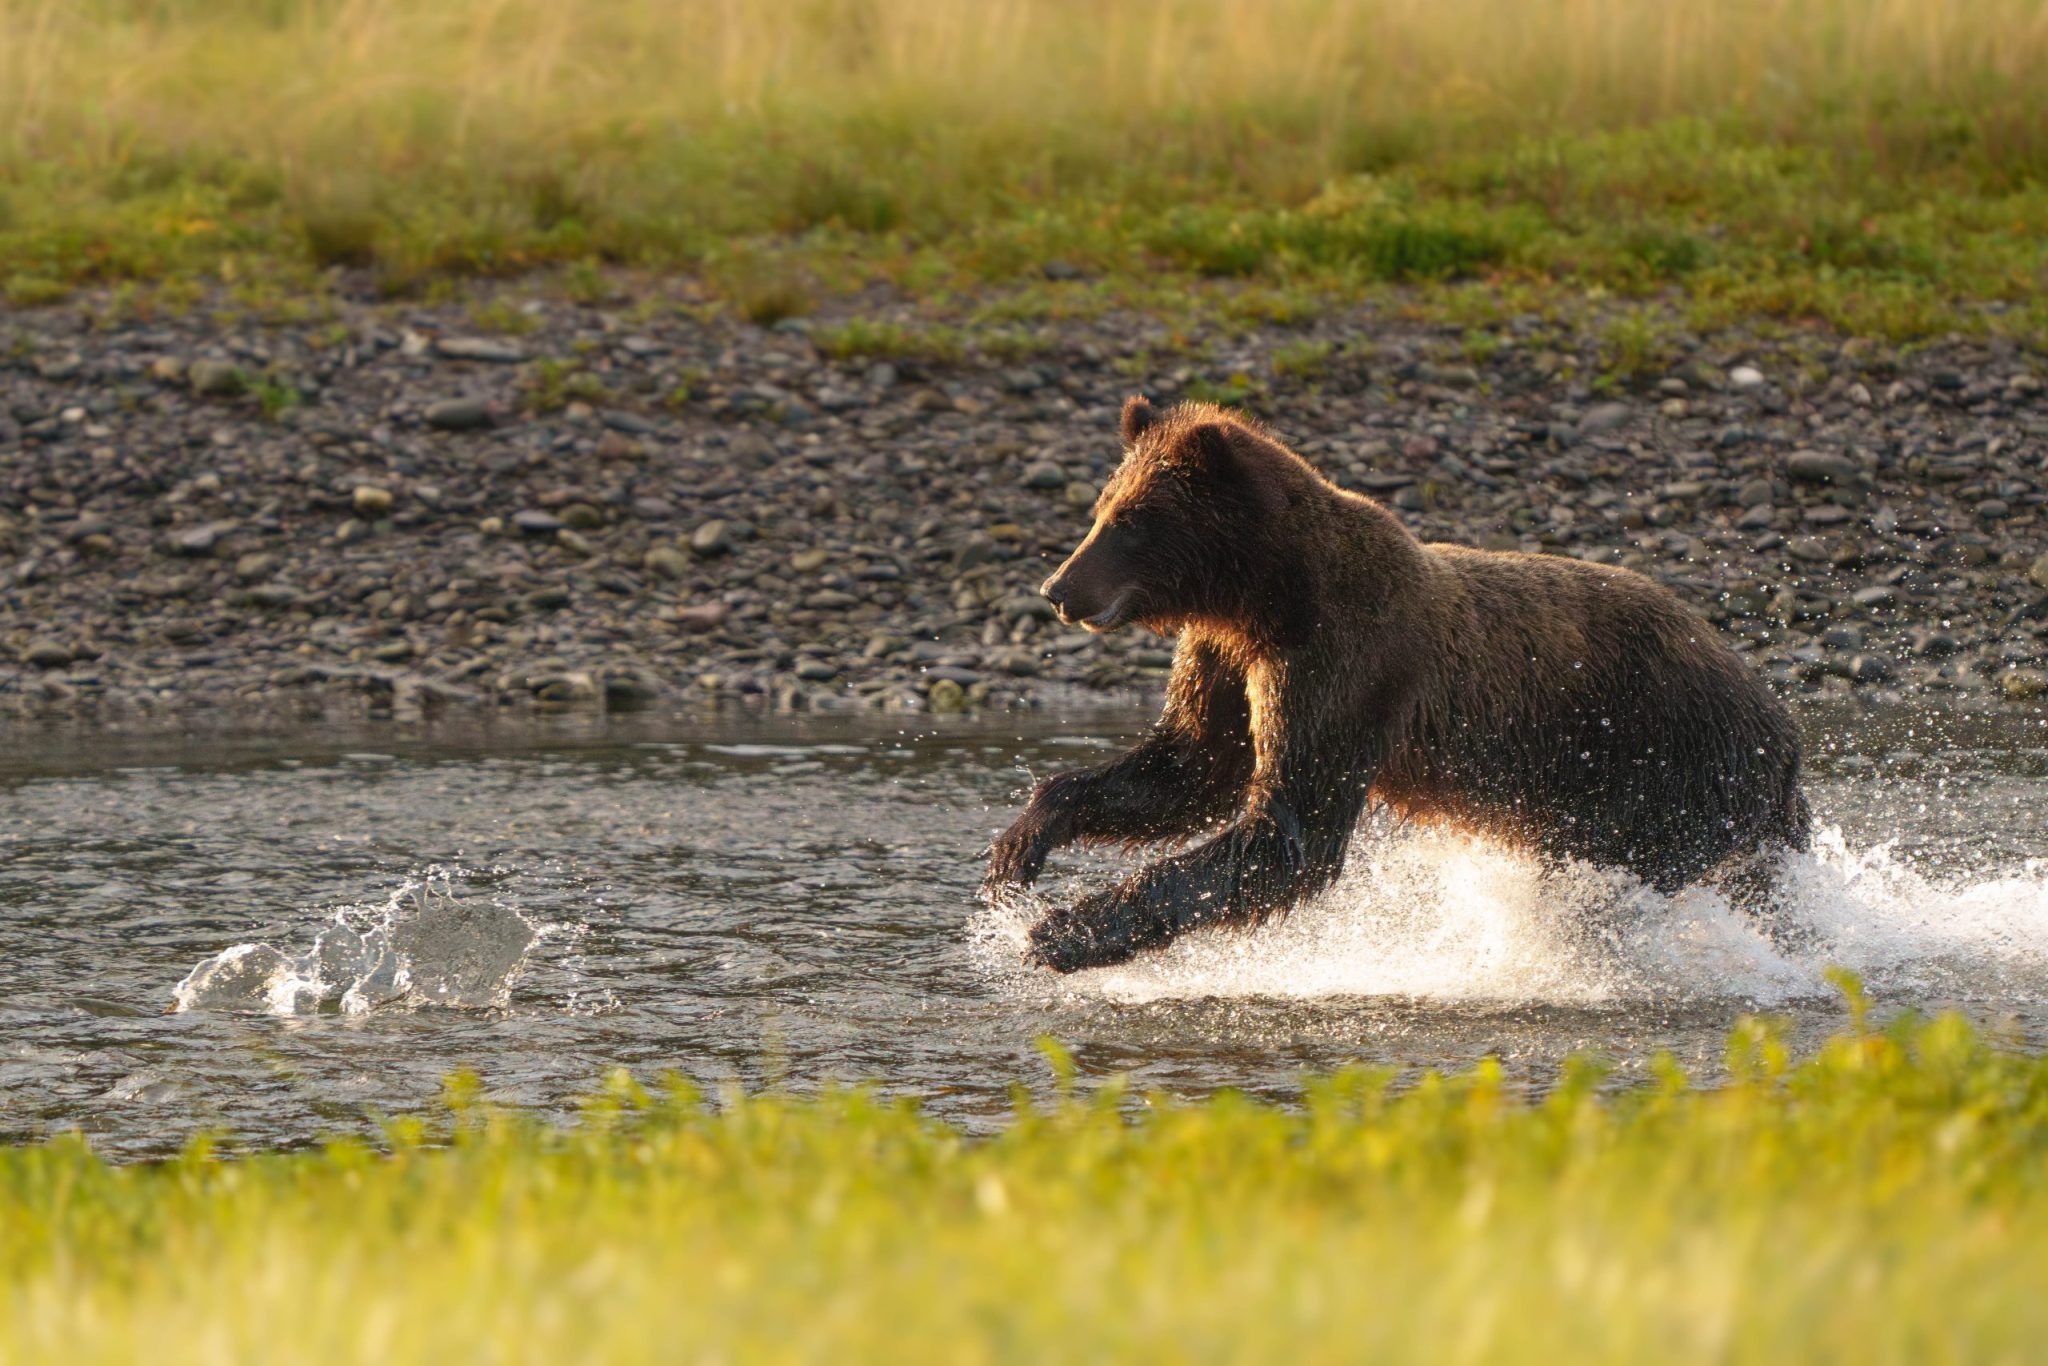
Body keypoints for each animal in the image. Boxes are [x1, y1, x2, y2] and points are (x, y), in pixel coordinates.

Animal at [984, 395, 1811, 973]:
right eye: (1101, 508)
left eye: (1130, 520)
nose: (1057, 588)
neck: (1264, 594)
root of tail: (1781, 725)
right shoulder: (1227, 660)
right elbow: (1186, 767)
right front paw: (1017, 853)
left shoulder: (1343, 661)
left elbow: (1287, 830)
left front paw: (1061, 931)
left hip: (1663, 766)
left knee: (1614, 881)